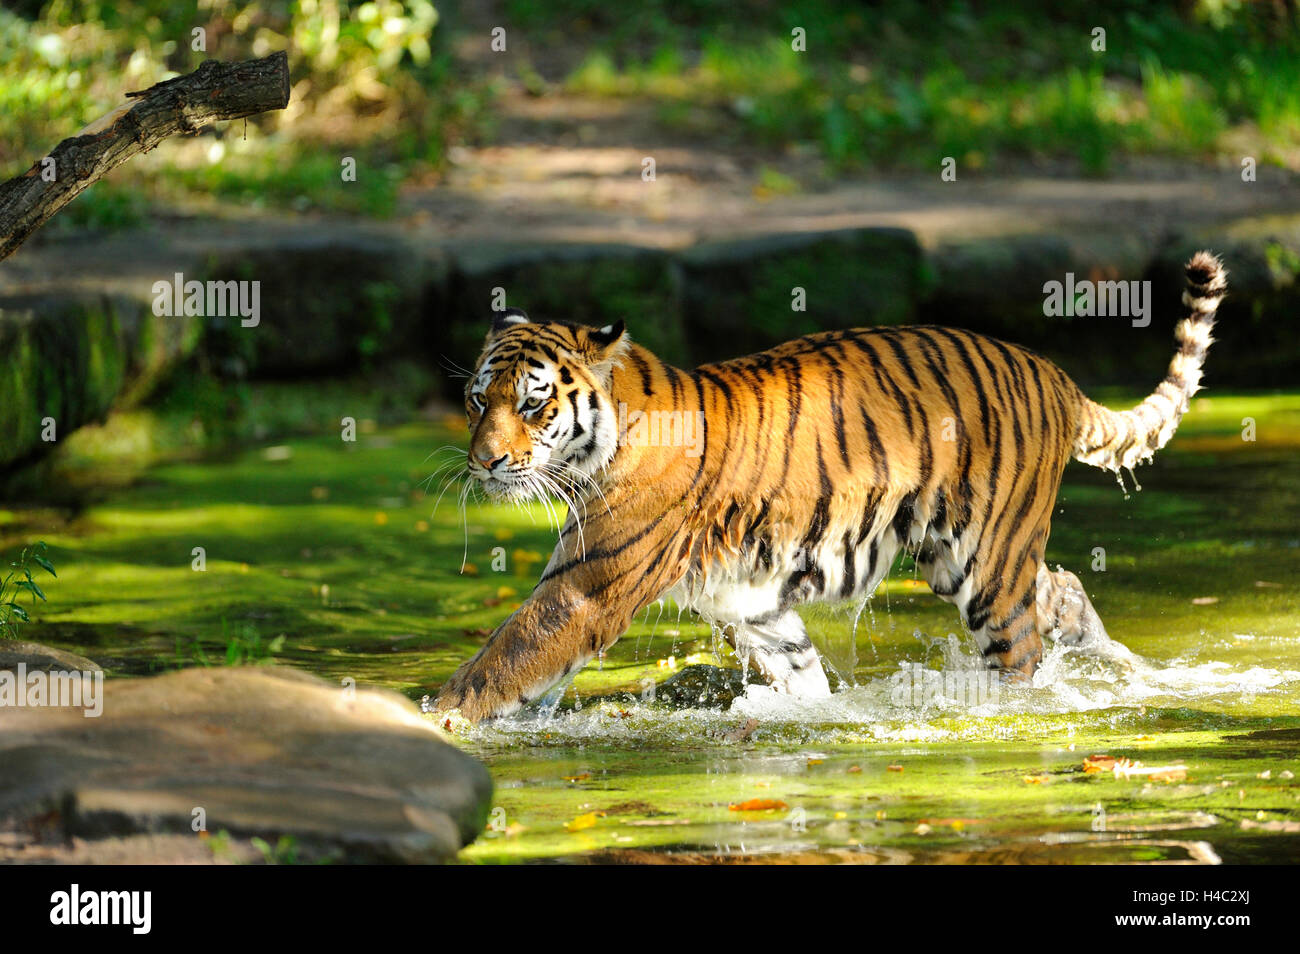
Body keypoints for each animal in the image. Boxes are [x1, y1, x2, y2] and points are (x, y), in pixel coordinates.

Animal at [433, 251, 1226, 722]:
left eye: (532, 405)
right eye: (477, 402)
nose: (484, 463)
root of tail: (1053, 371)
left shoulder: (582, 588)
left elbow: (502, 659)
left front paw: (437, 719)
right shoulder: (752, 603)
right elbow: (801, 676)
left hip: (986, 564)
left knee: (1023, 651)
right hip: (963, 554)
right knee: (1063, 591)